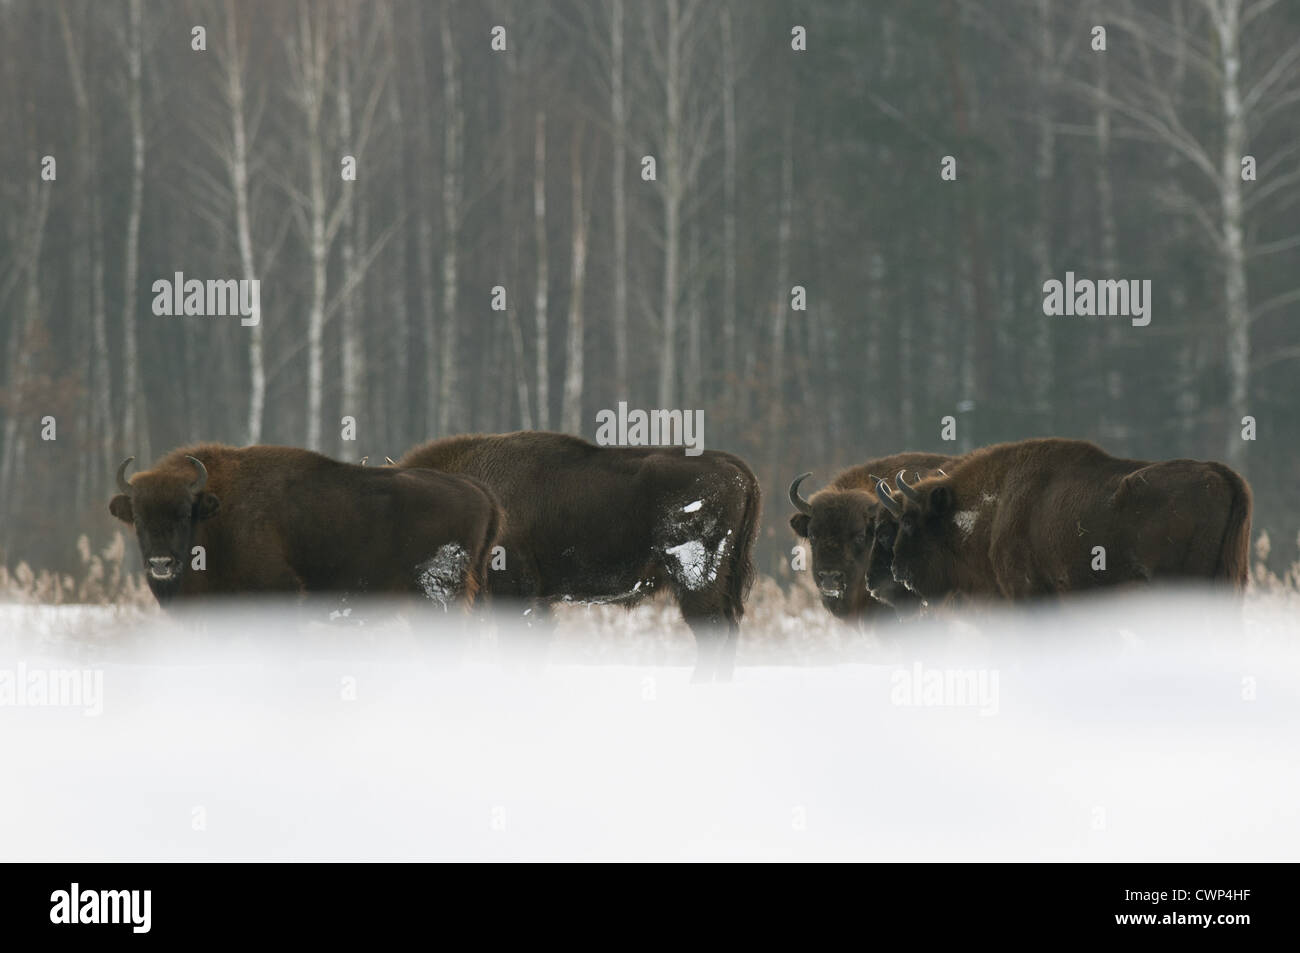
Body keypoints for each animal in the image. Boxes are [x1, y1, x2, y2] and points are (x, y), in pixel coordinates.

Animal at [397, 431, 761, 681]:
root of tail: (740, 471)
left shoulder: (513, 590)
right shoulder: (538, 598)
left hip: (695, 578)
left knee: (713, 631)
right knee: (729, 630)